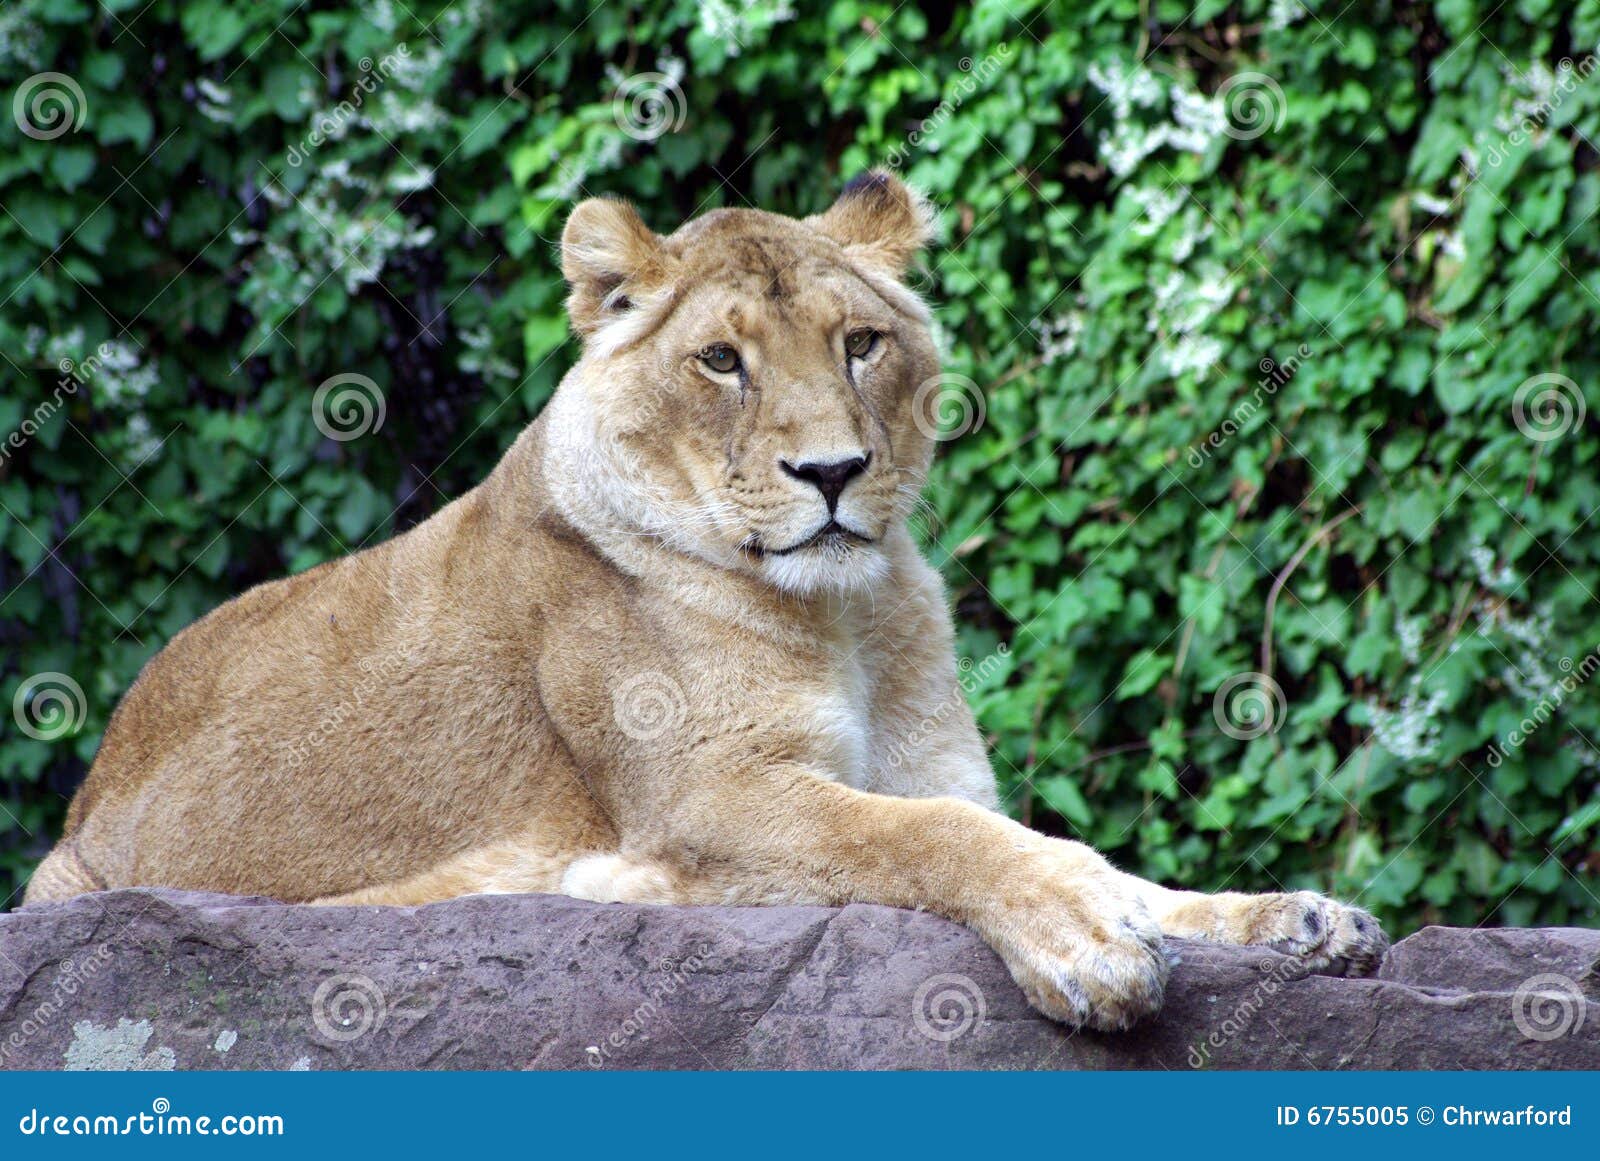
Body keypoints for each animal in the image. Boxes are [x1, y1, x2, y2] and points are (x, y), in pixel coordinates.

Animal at [25, 171, 1386, 1030]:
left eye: (858, 344)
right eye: (721, 361)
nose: (831, 473)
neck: (850, 611)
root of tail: (86, 798)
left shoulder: (928, 768)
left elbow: (1077, 853)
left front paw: (1290, 921)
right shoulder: (708, 796)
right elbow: (932, 841)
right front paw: (1087, 945)